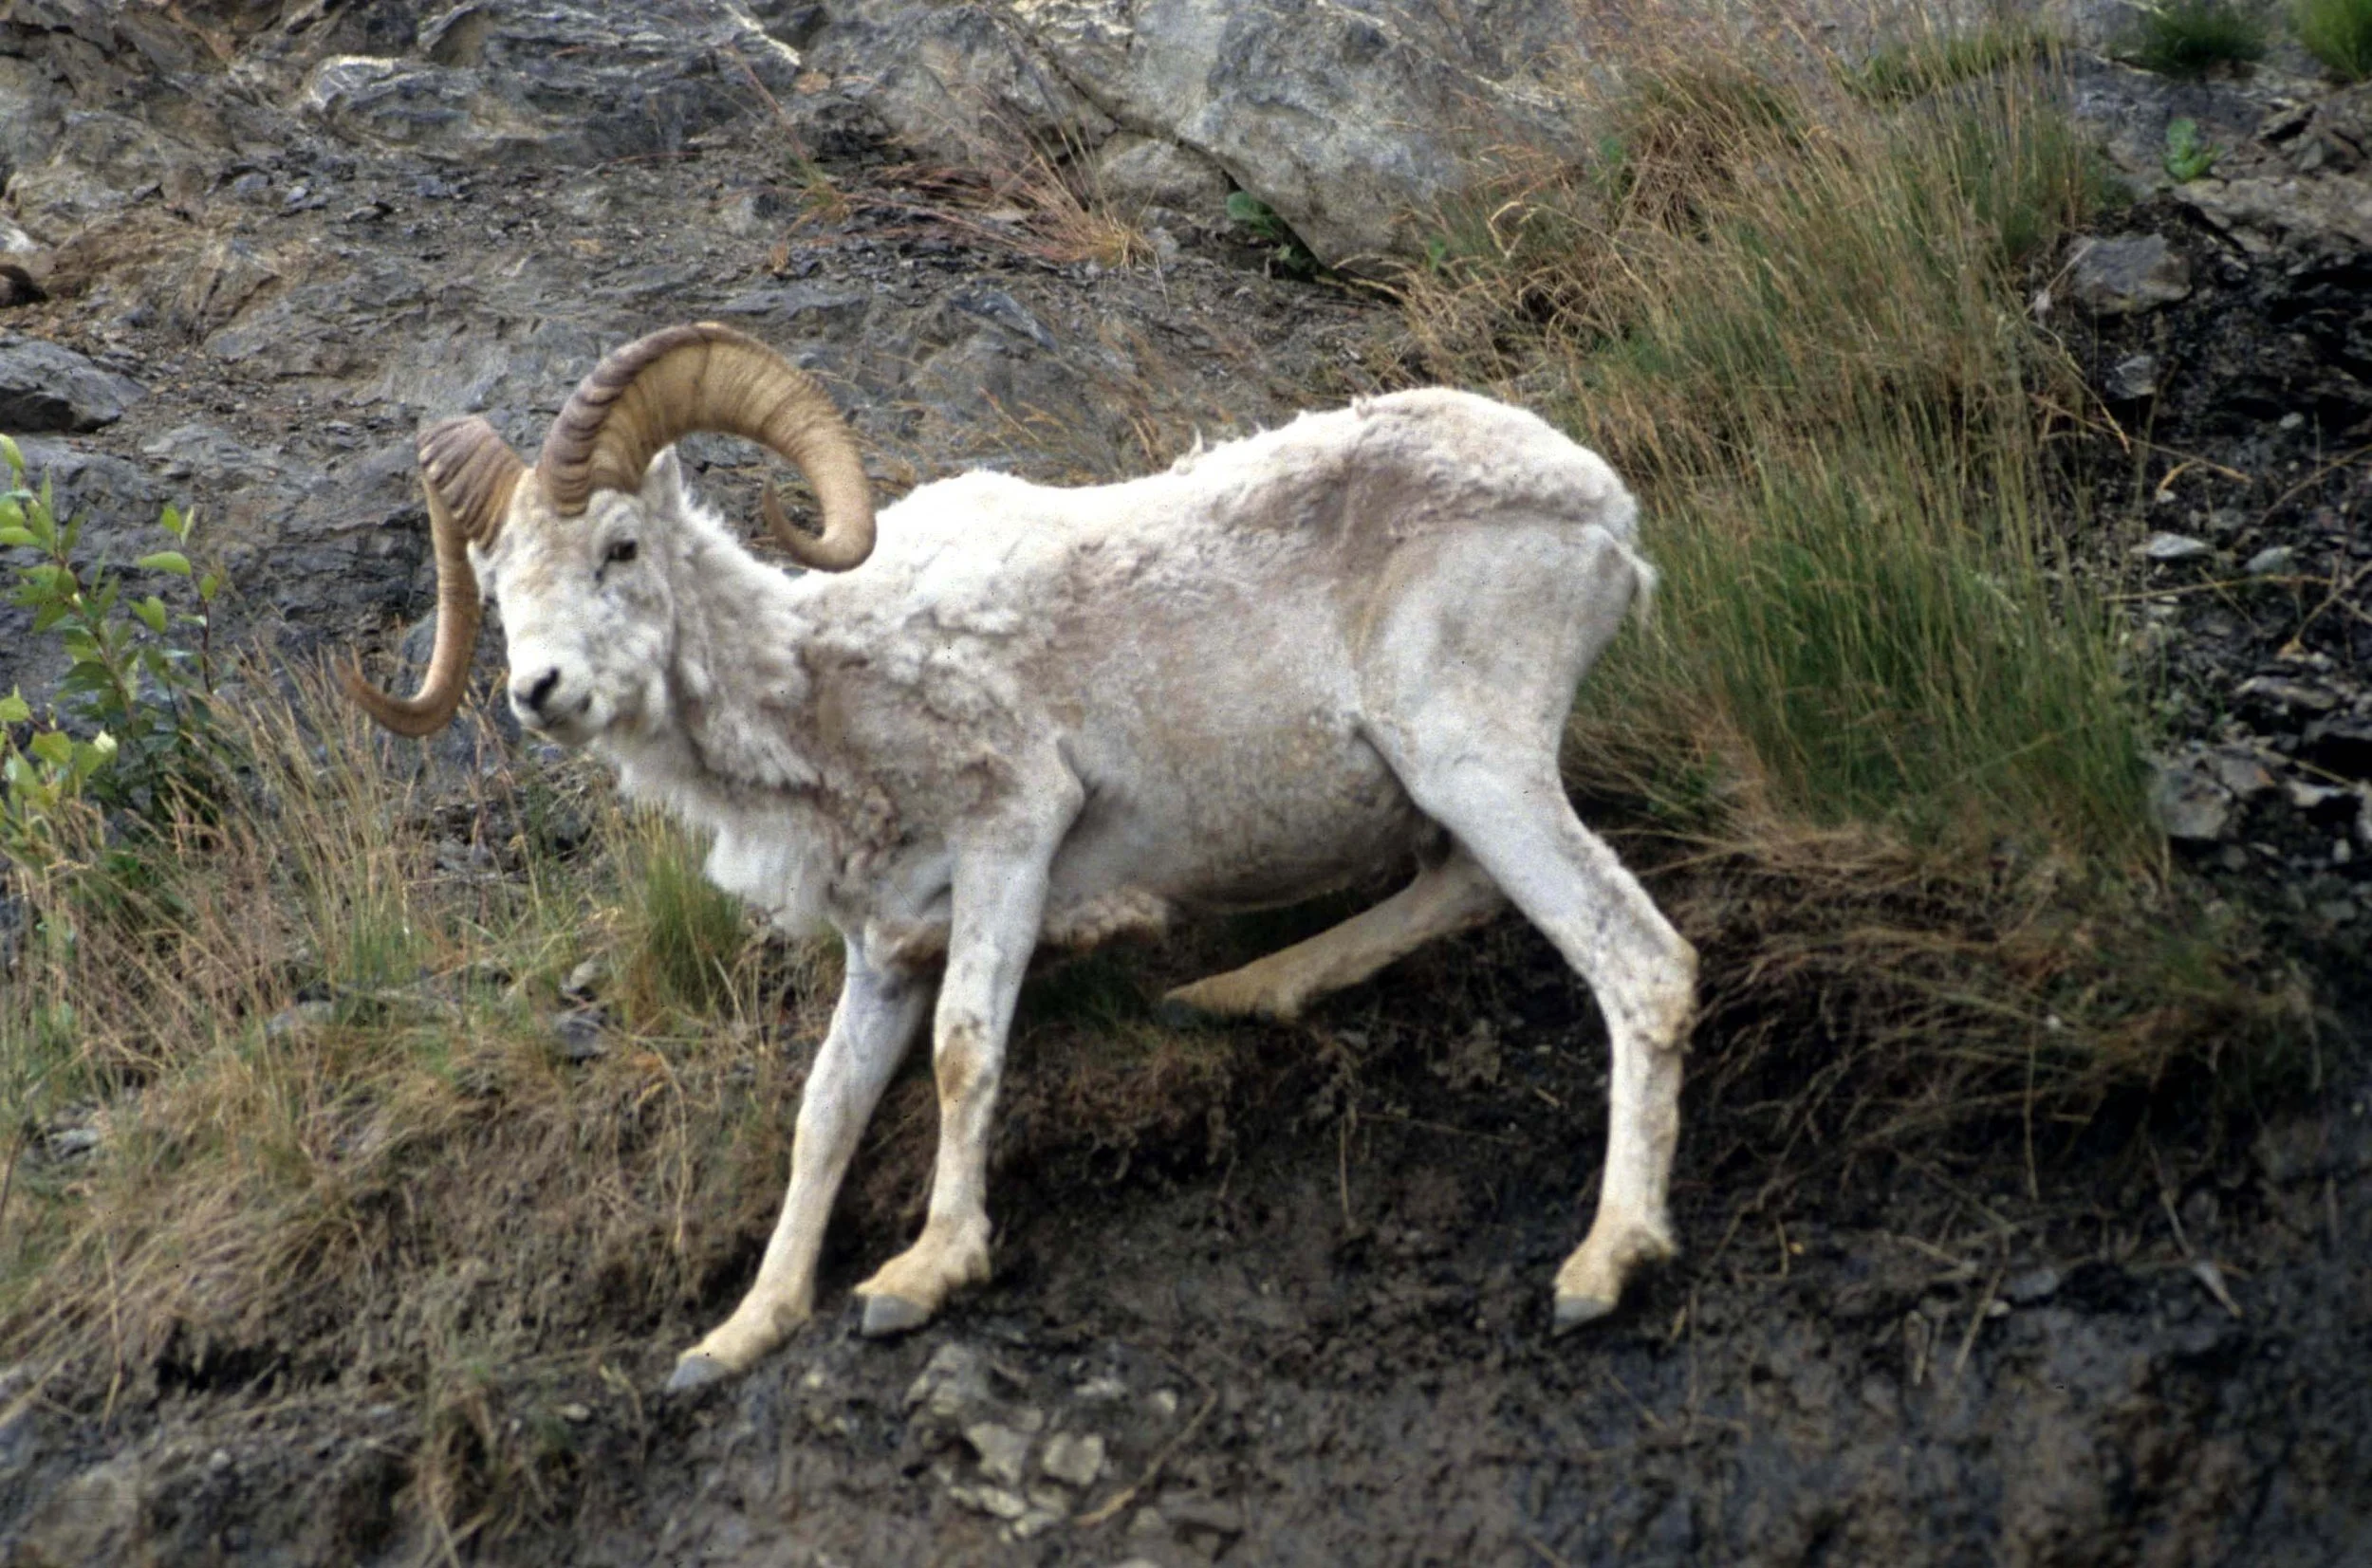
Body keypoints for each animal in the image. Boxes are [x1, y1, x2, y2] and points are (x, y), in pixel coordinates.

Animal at [346, 321, 1698, 1392]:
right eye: (495, 582)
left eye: (620, 548)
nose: (539, 692)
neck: (825, 692)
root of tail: (1602, 511)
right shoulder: (884, 949)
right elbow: (824, 1116)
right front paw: (738, 1337)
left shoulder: (1013, 837)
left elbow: (963, 1052)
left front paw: (921, 1277)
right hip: (1449, 790)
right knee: (1455, 890)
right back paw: (1230, 994)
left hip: (1474, 761)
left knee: (1638, 963)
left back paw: (1601, 1265)